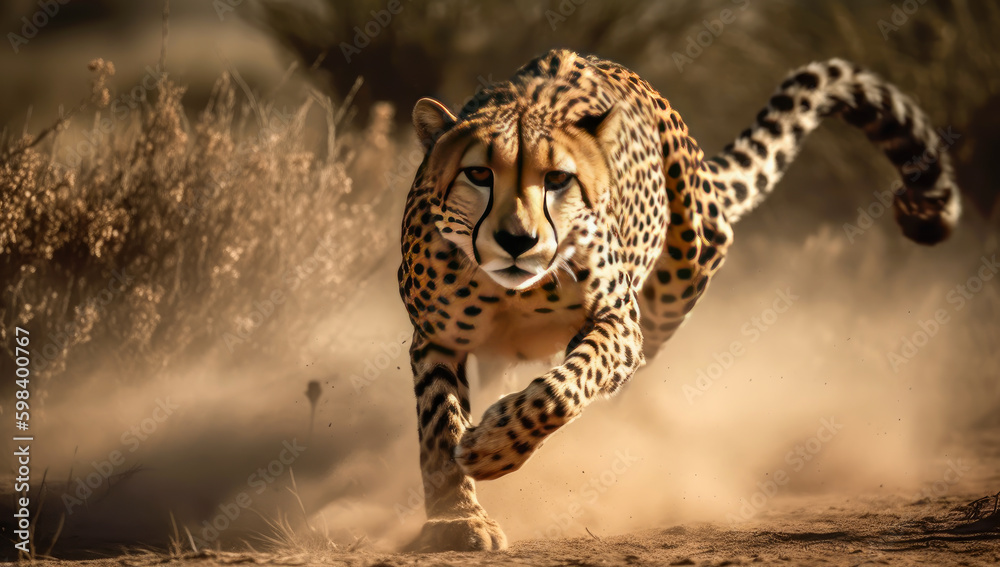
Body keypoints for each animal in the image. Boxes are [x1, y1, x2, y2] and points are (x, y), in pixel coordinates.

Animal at [397, 48, 960, 552]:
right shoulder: (437, 339)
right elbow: (438, 427)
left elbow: (562, 389)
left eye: (557, 179)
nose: (518, 240)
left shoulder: (620, 325)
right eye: (478, 174)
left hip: (677, 284)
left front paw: (492, 447)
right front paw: (456, 520)